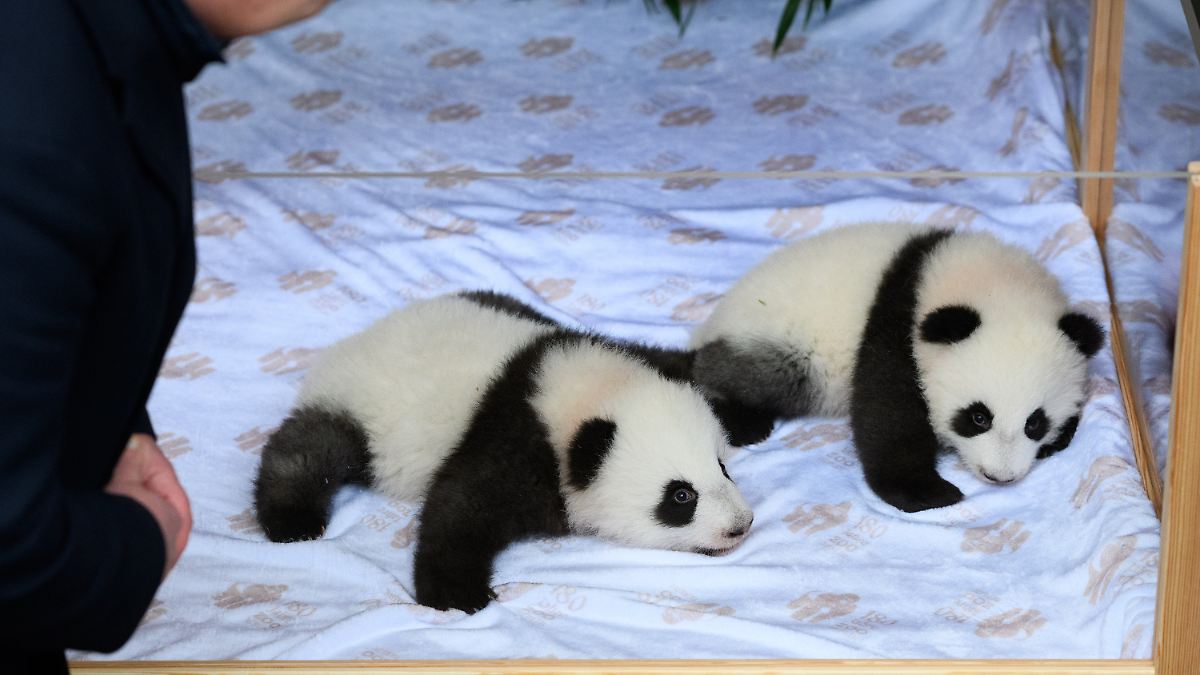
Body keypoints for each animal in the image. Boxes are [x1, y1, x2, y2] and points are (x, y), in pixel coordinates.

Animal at [254, 292, 754, 613]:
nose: (740, 526)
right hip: (358, 416)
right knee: (308, 451)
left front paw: (745, 413)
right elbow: (461, 505)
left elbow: (685, 365)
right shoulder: (517, 444)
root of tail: (352, 343)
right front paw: (456, 594)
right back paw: (292, 520)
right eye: (681, 497)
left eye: (722, 467)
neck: (580, 395)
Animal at [690, 222, 1105, 513]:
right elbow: (887, 413)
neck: (996, 286)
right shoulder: (898, 322)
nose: (999, 476)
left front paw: (1059, 438)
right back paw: (742, 420)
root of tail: (710, 326)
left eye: (1035, 423)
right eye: (977, 417)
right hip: (783, 345)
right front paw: (924, 491)